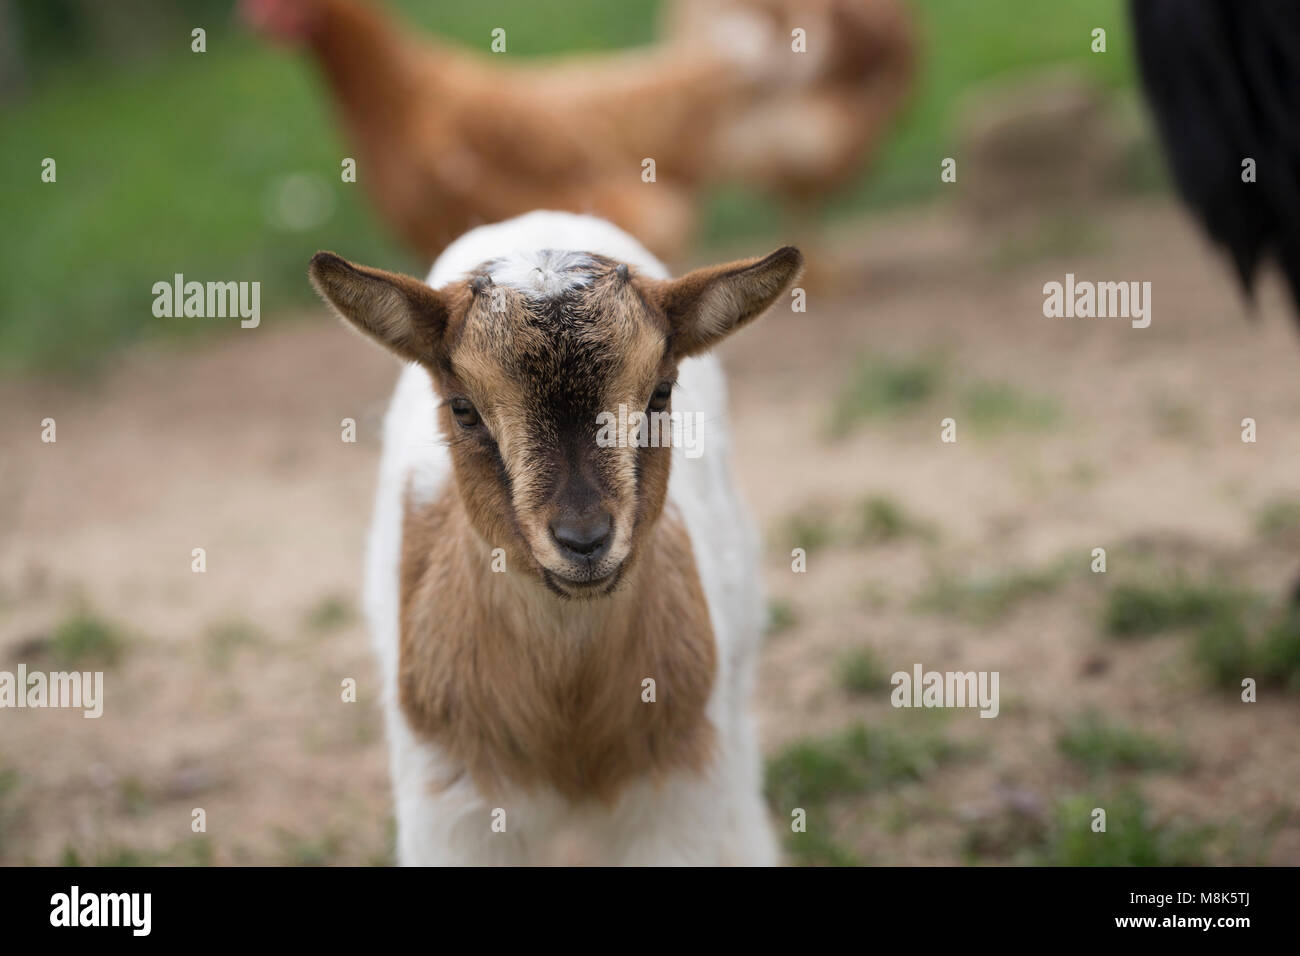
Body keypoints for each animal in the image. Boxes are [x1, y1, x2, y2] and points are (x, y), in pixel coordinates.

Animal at [309, 210, 802, 865]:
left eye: (661, 393)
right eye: (463, 408)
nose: (584, 539)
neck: (568, 722)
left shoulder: (675, 795)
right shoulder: (453, 807)